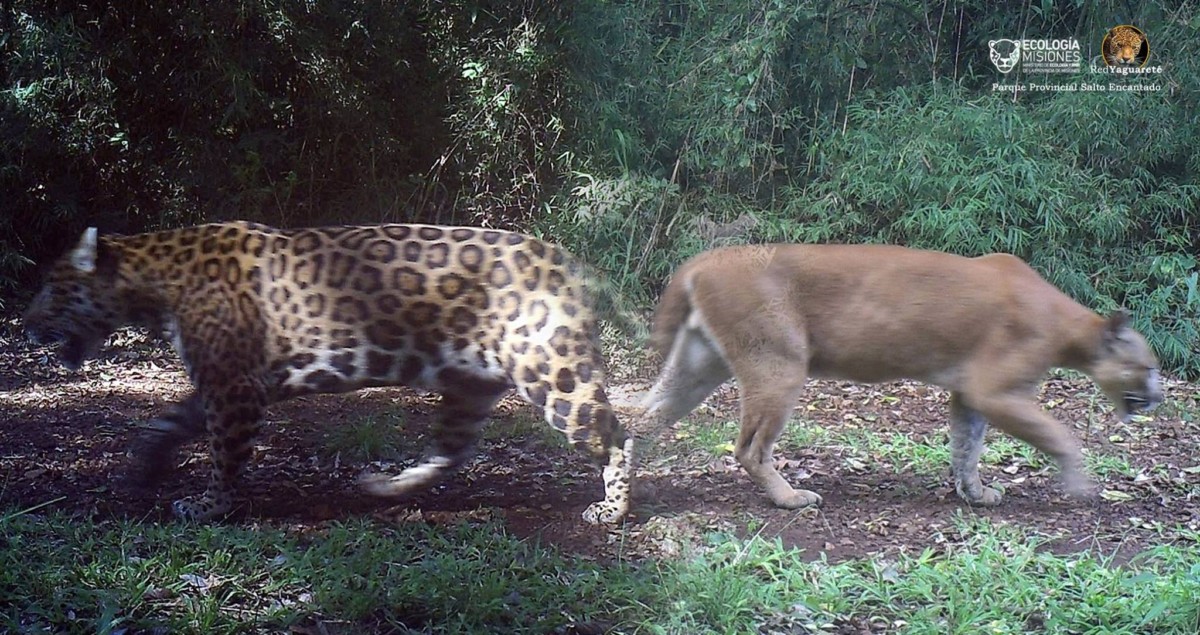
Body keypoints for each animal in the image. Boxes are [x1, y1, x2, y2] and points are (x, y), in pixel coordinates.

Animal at [23, 221, 633, 524]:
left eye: (53, 288)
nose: (24, 323)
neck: (152, 278)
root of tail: (569, 263)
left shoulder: (234, 388)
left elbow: (224, 456)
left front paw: (209, 508)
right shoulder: (221, 380)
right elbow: (166, 424)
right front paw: (143, 470)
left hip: (550, 371)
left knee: (616, 435)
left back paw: (614, 509)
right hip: (471, 382)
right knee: (452, 449)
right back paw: (387, 487)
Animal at [641, 243, 1163, 512]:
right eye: (1149, 367)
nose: (1159, 395)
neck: (1067, 322)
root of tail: (706, 259)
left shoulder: (970, 393)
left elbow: (967, 447)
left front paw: (974, 493)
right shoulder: (995, 392)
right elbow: (1058, 436)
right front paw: (1079, 483)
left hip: (700, 363)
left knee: (643, 417)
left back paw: (625, 495)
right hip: (779, 365)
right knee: (748, 448)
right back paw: (790, 497)